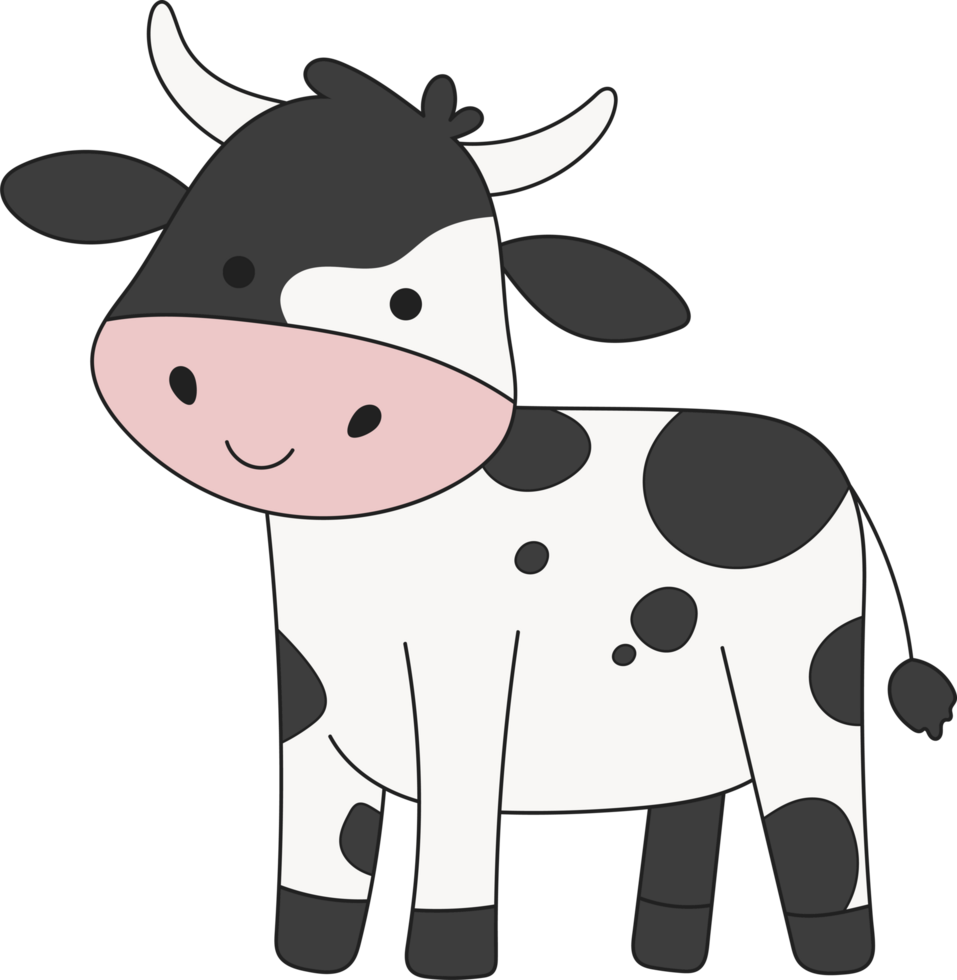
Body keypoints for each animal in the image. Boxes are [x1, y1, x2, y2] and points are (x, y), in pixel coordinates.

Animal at [2, 3, 953, 977]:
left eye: (412, 303)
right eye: (225, 255)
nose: (270, 395)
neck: (369, 549)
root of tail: (815, 454)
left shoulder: (468, 670)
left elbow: (457, 825)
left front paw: (447, 960)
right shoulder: (308, 700)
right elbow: (324, 850)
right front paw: (311, 956)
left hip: (799, 676)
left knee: (817, 819)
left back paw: (834, 956)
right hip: (687, 712)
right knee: (690, 803)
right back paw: (664, 950)